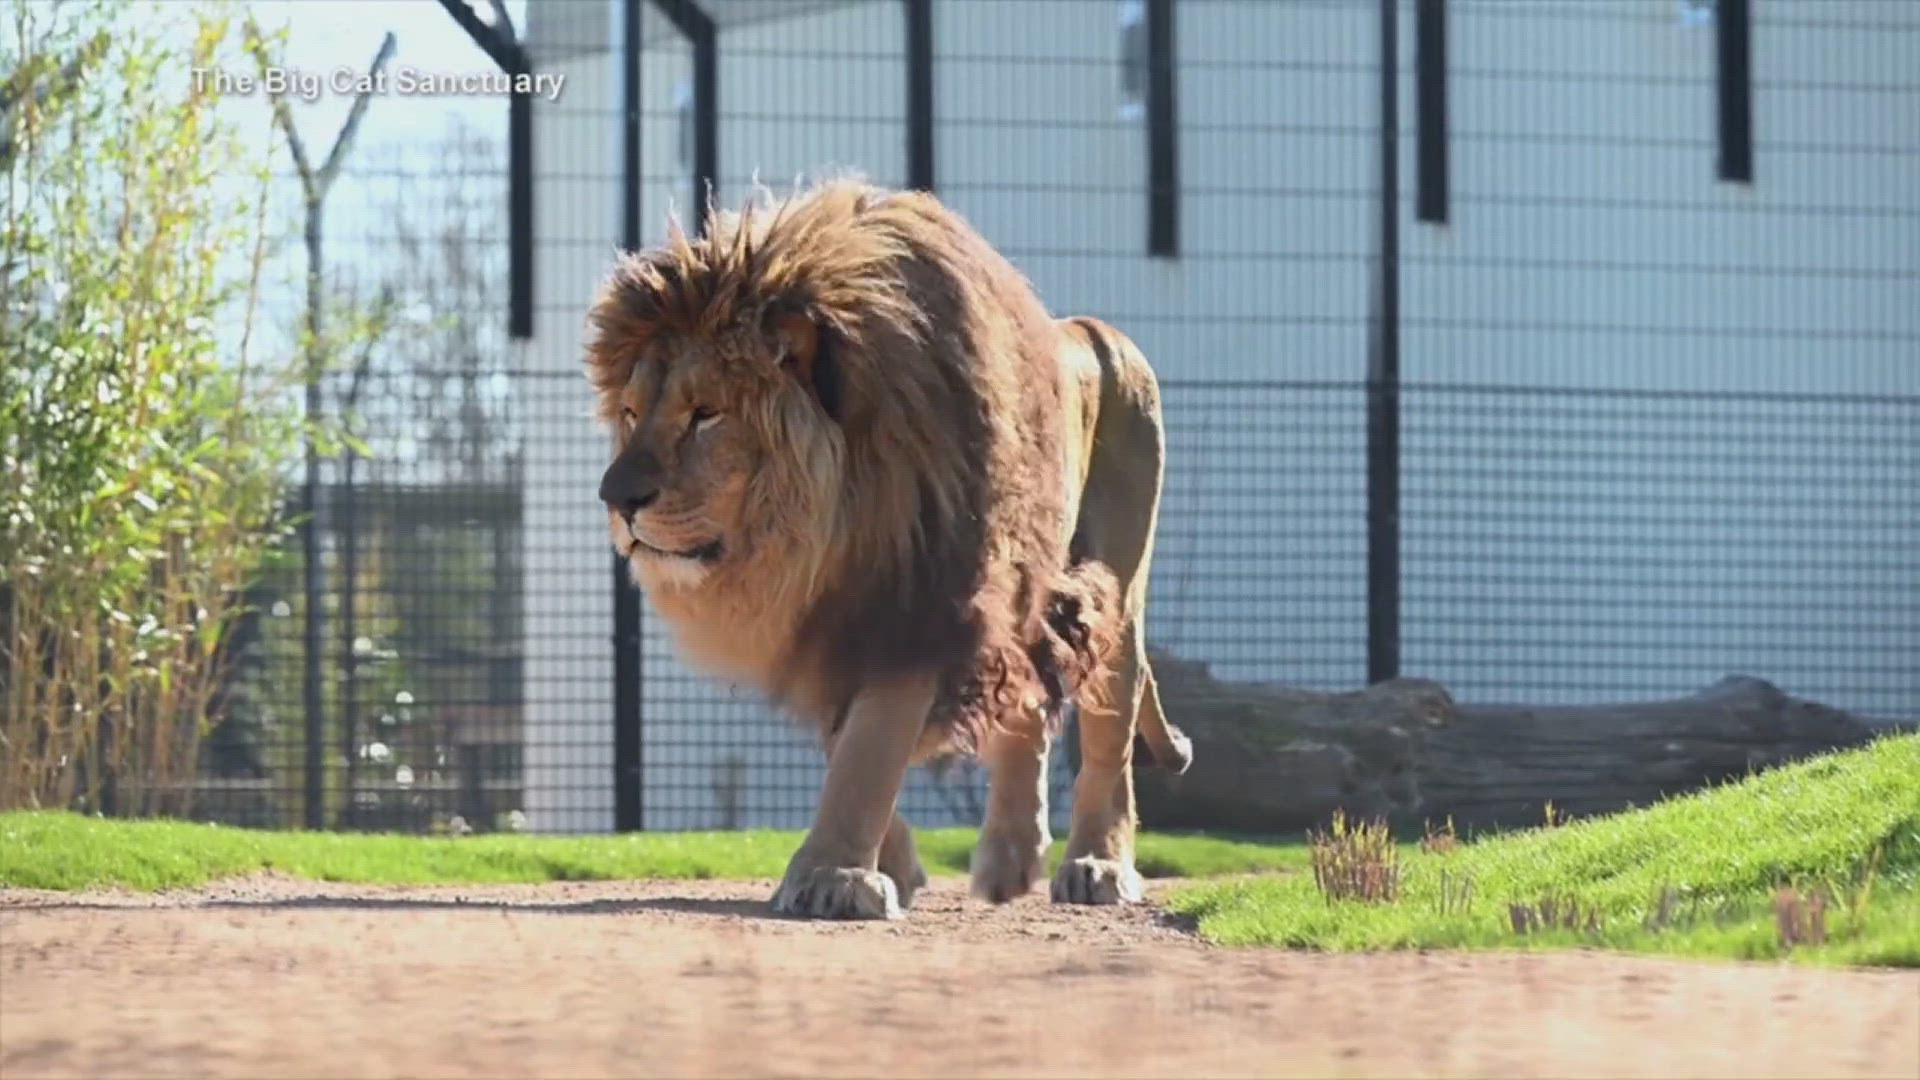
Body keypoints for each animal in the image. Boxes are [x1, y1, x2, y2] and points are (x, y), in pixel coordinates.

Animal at [584, 177, 1191, 920]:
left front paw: (831, 878)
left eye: (706, 415)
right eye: (632, 412)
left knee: (1110, 725)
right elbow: (848, 742)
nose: (616, 497)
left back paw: (1097, 865)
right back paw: (1010, 861)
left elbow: (871, 746)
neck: (822, 533)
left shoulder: (922, 594)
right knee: (1027, 706)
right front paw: (891, 867)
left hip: (1116, 590)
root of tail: (1091, 331)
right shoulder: (826, 626)